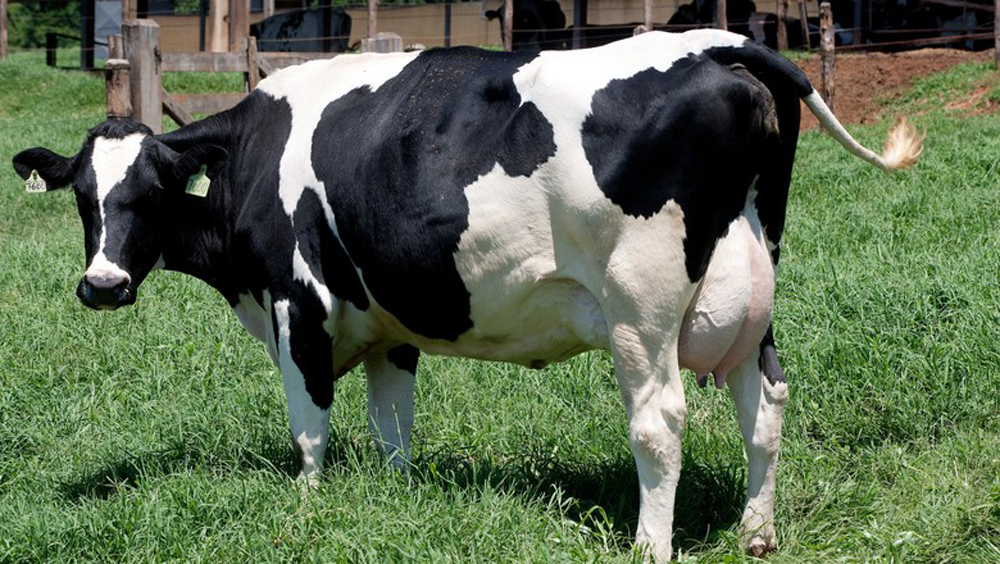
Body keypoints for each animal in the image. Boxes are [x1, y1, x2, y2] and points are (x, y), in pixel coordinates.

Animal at [12, 30, 921, 560]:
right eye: (84, 198)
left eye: (153, 192)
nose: (102, 285)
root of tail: (718, 44)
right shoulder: (388, 321)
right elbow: (392, 427)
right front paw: (394, 497)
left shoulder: (298, 304)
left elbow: (310, 428)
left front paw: (306, 510)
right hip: (752, 288)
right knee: (764, 402)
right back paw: (755, 532)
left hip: (643, 302)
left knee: (660, 422)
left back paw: (649, 546)